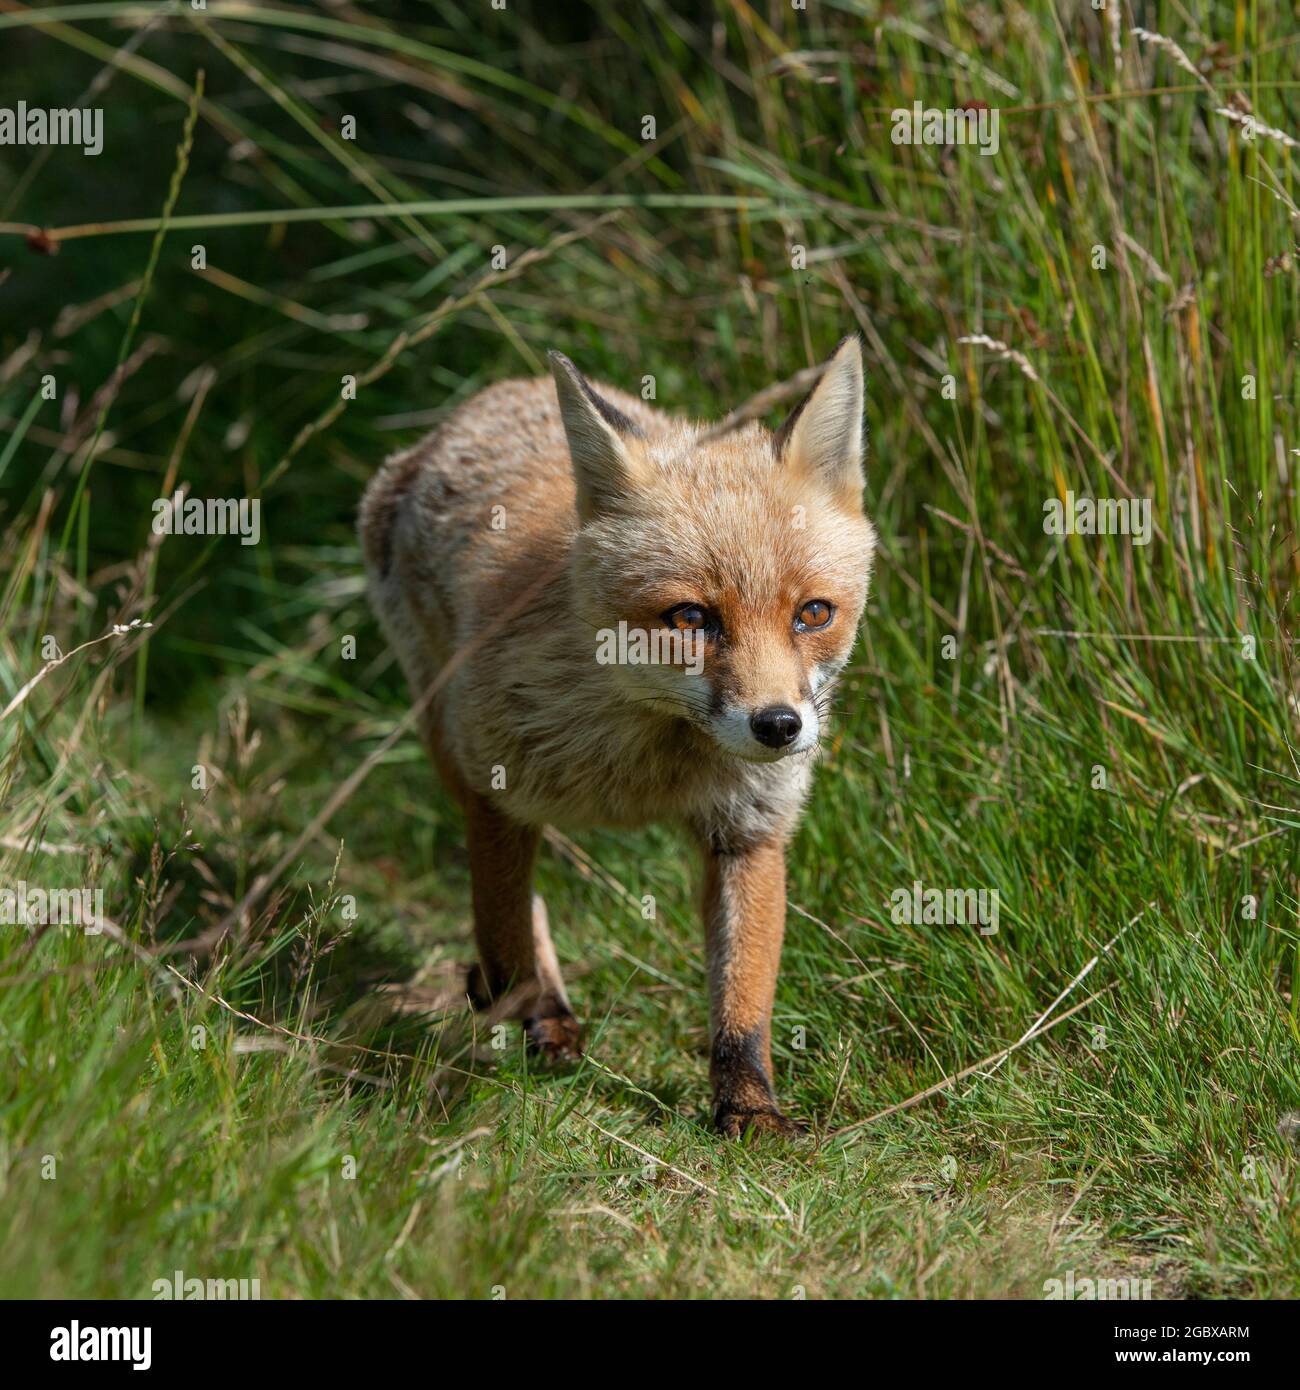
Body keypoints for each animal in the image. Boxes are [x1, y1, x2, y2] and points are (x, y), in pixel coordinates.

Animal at [359, 335, 876, 1137]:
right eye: (691, 618)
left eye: (813, 614)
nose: (778, 726)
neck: (648, 759)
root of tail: (492, 396)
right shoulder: (496, 791)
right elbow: (506, 932)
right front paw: (531, 1021)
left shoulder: (749, 829)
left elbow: (743, 998)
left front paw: (748, 1106)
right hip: (446, 739)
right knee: (518, 910)